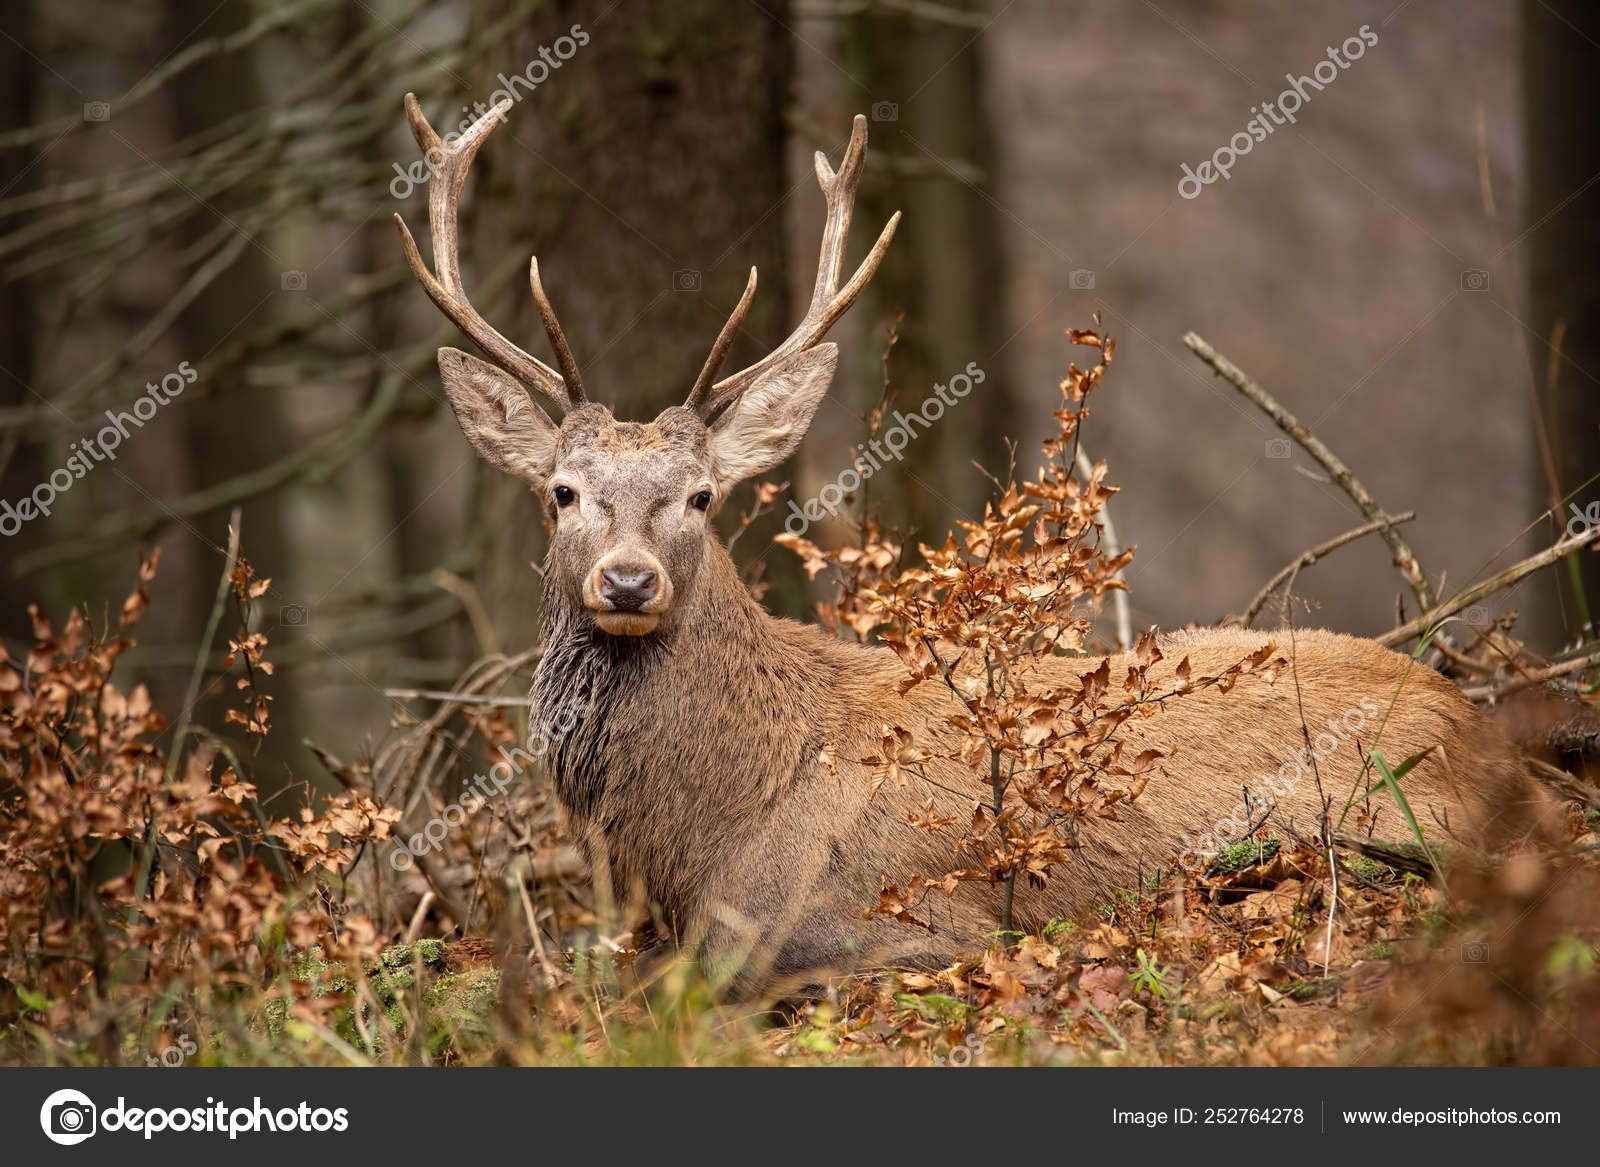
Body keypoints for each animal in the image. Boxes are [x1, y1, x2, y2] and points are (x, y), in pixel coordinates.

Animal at [394, 96, 1554, 988]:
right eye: (561, 492)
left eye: (703, 497)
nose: (628, 581)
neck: (707, 834)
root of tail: (1484, 732)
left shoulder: (895, 924)